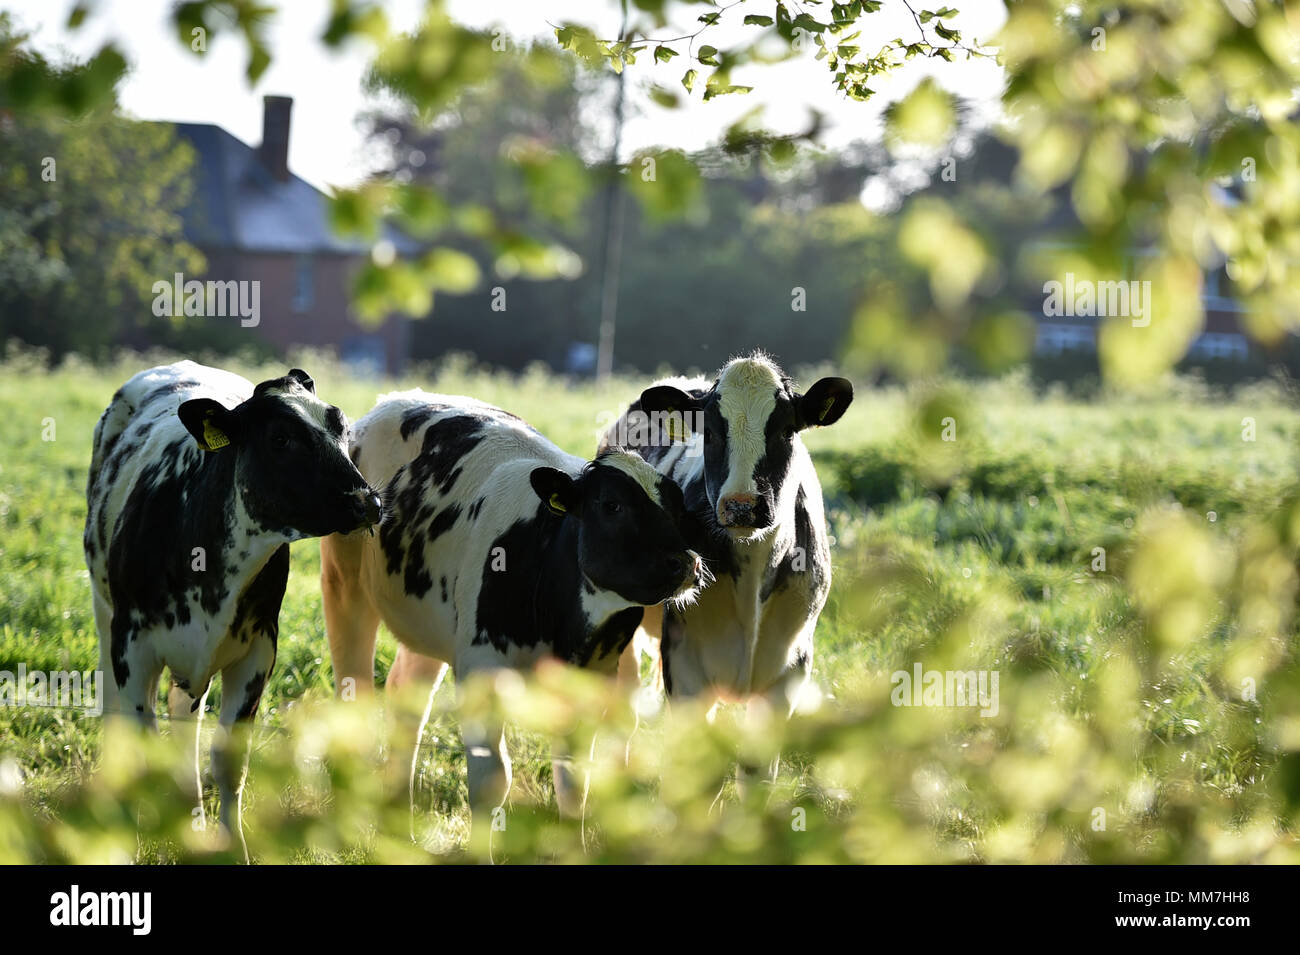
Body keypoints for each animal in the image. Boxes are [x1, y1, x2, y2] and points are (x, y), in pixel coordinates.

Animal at [83, 360, 381, 856]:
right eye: (280, 439)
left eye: (341, 427)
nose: (367, 501)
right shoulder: (134, 646)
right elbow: (145, 746)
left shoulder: (257, 651)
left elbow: (228, 760)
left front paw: (231, 848)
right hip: (104, 611)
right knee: (116, 711)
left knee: (186, 722)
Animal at [320, 390, 703, 818]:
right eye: (612, 505)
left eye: (677, 505)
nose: (686, 561)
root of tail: (396, 399)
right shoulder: (480, 666)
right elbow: (491, 780)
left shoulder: (594, 678)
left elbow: (575, 780)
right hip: (344, 583)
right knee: (354, 687)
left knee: (408, 697)